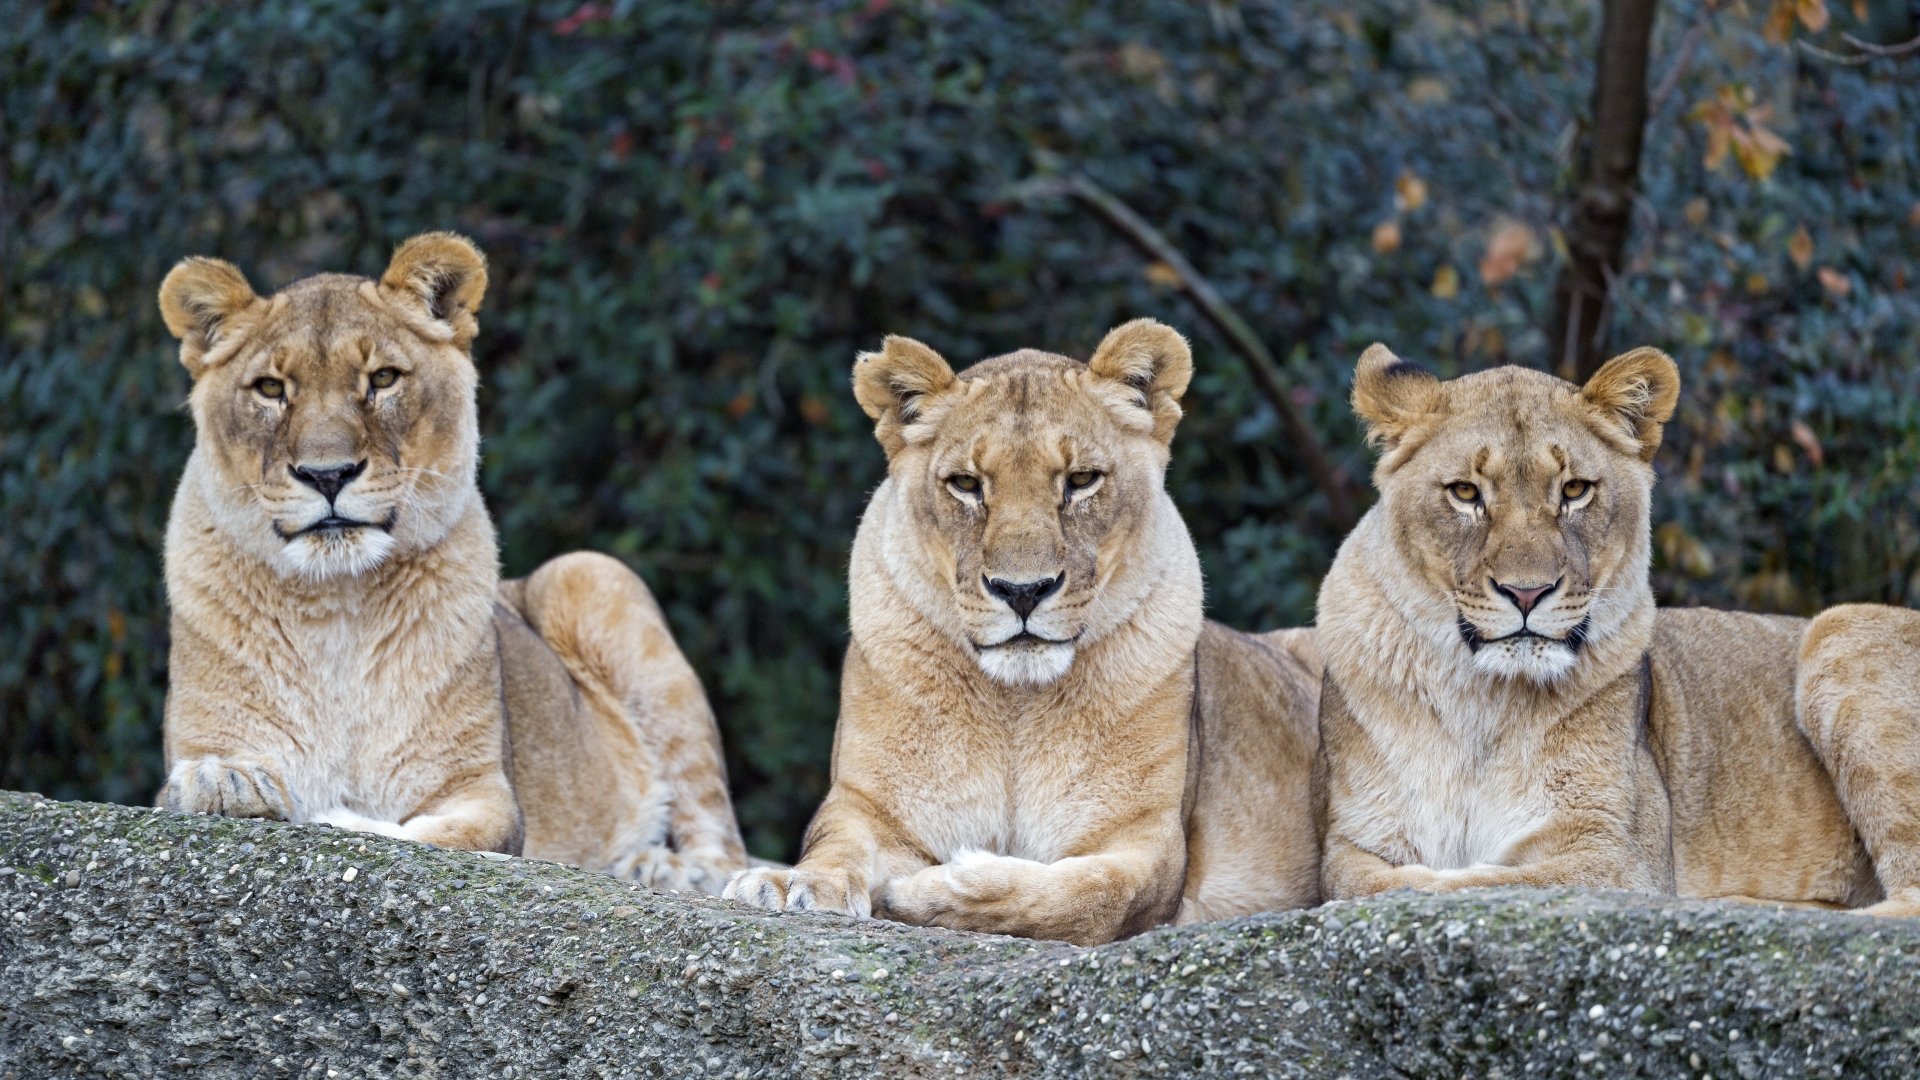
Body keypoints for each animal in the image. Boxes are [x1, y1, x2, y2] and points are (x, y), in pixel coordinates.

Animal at [154, 232, 746, 892]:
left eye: (383, 378)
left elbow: (423, 835)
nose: (328, 475)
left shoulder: (486, 793)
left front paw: (333, 815)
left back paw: (667, 869)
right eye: (270, 389)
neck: (336, 605)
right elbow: (187, 785)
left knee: (725, 845)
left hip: (594, 578)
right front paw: (223, 780)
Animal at [723, 320, 1322, 945]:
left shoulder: (1149, 841)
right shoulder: (868, 805)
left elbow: (1088, 895)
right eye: (966, 484)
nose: (1023, 591)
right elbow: (836, 843)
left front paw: (937, 888)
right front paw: (793, 883)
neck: (1015, 705)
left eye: (1081, 480)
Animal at [1315, 344, 1918, 914]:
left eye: (1575, 490)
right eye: (1465, 493)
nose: (1527, 593)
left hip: (1839, 627)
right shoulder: (1351, 843)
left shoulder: (1621, 853)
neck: (1482, 704)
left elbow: (1493, 882)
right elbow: (1372, 883)